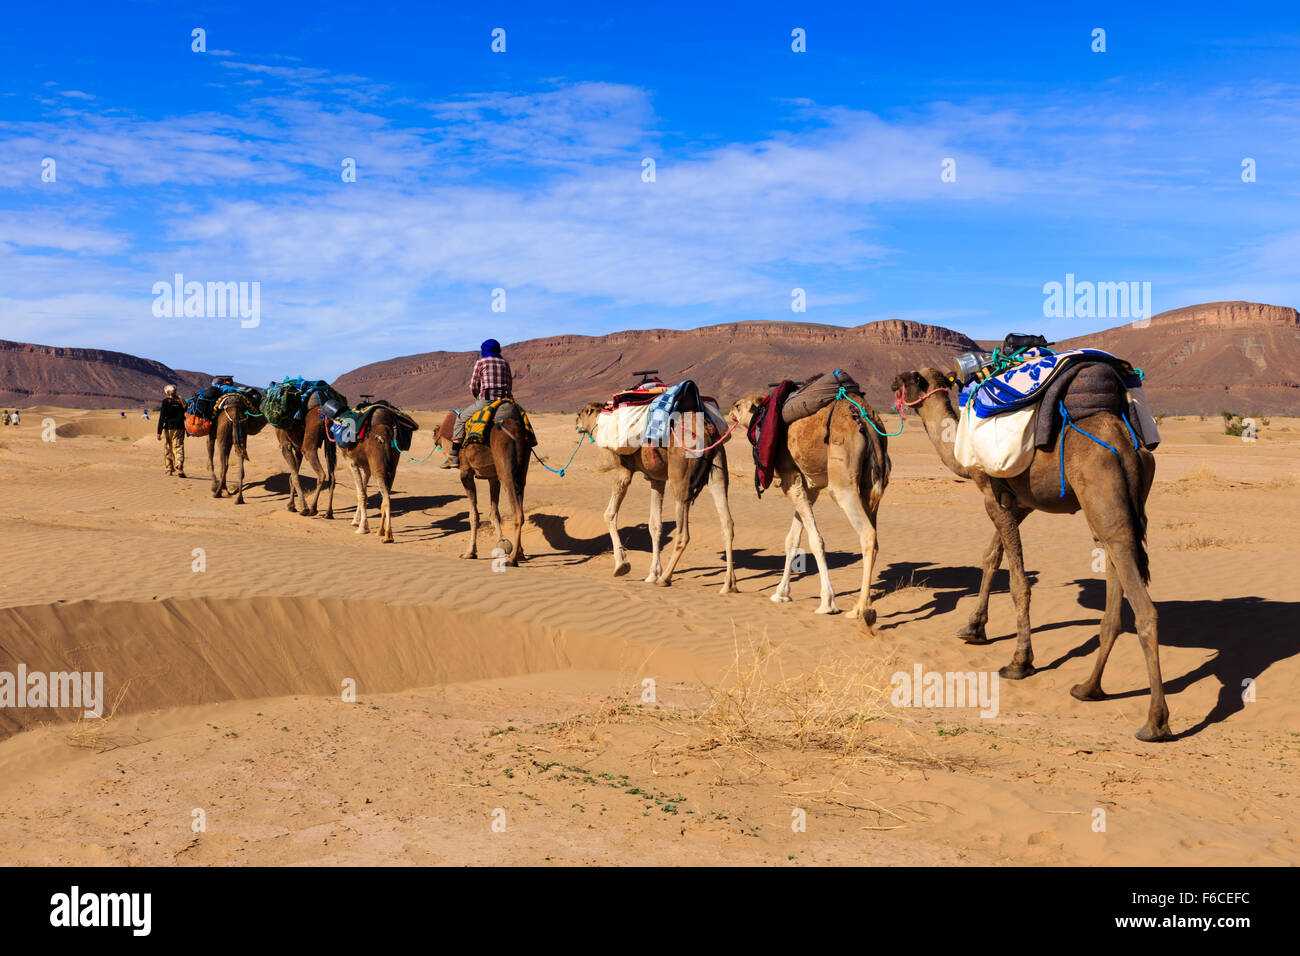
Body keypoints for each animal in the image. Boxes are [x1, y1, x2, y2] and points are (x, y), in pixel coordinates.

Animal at [574, 397, 737, 593]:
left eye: (584, 411)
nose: (576, 421)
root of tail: (707, 431)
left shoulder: (624, 471)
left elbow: (609, 514)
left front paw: (622, 565)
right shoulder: (656, 479)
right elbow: (655, 525)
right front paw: (652, 574)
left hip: (680, 477)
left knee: (684, 534)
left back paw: (665, 577)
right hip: (718, 469)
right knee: (727, 523)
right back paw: (729, 584)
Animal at [725, 393, 889, 627]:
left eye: (738, 406)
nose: (729, 411)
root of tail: (867, 420)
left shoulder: (790, 479)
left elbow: (815, 540)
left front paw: (827, 603)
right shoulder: (809, 488)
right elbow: (792, 539)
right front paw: (781, 593)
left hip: (842, 482)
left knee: (867, 533)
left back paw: (859, 610)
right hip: (871, 484)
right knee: (873, 529)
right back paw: (864, 604)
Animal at [891, 367, 1169, 742]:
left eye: (908, 378)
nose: (892, 383)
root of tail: (1125, 441)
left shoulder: (992, 495)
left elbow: (1018, 582)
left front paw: (1019, 662)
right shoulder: (1019, 501)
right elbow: (990, 555)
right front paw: (973, 627)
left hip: (1101, 491)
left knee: (1143, 605)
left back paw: (1155, 722)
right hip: (1115, 505)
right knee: (1114, 567)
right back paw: (1088, 688)